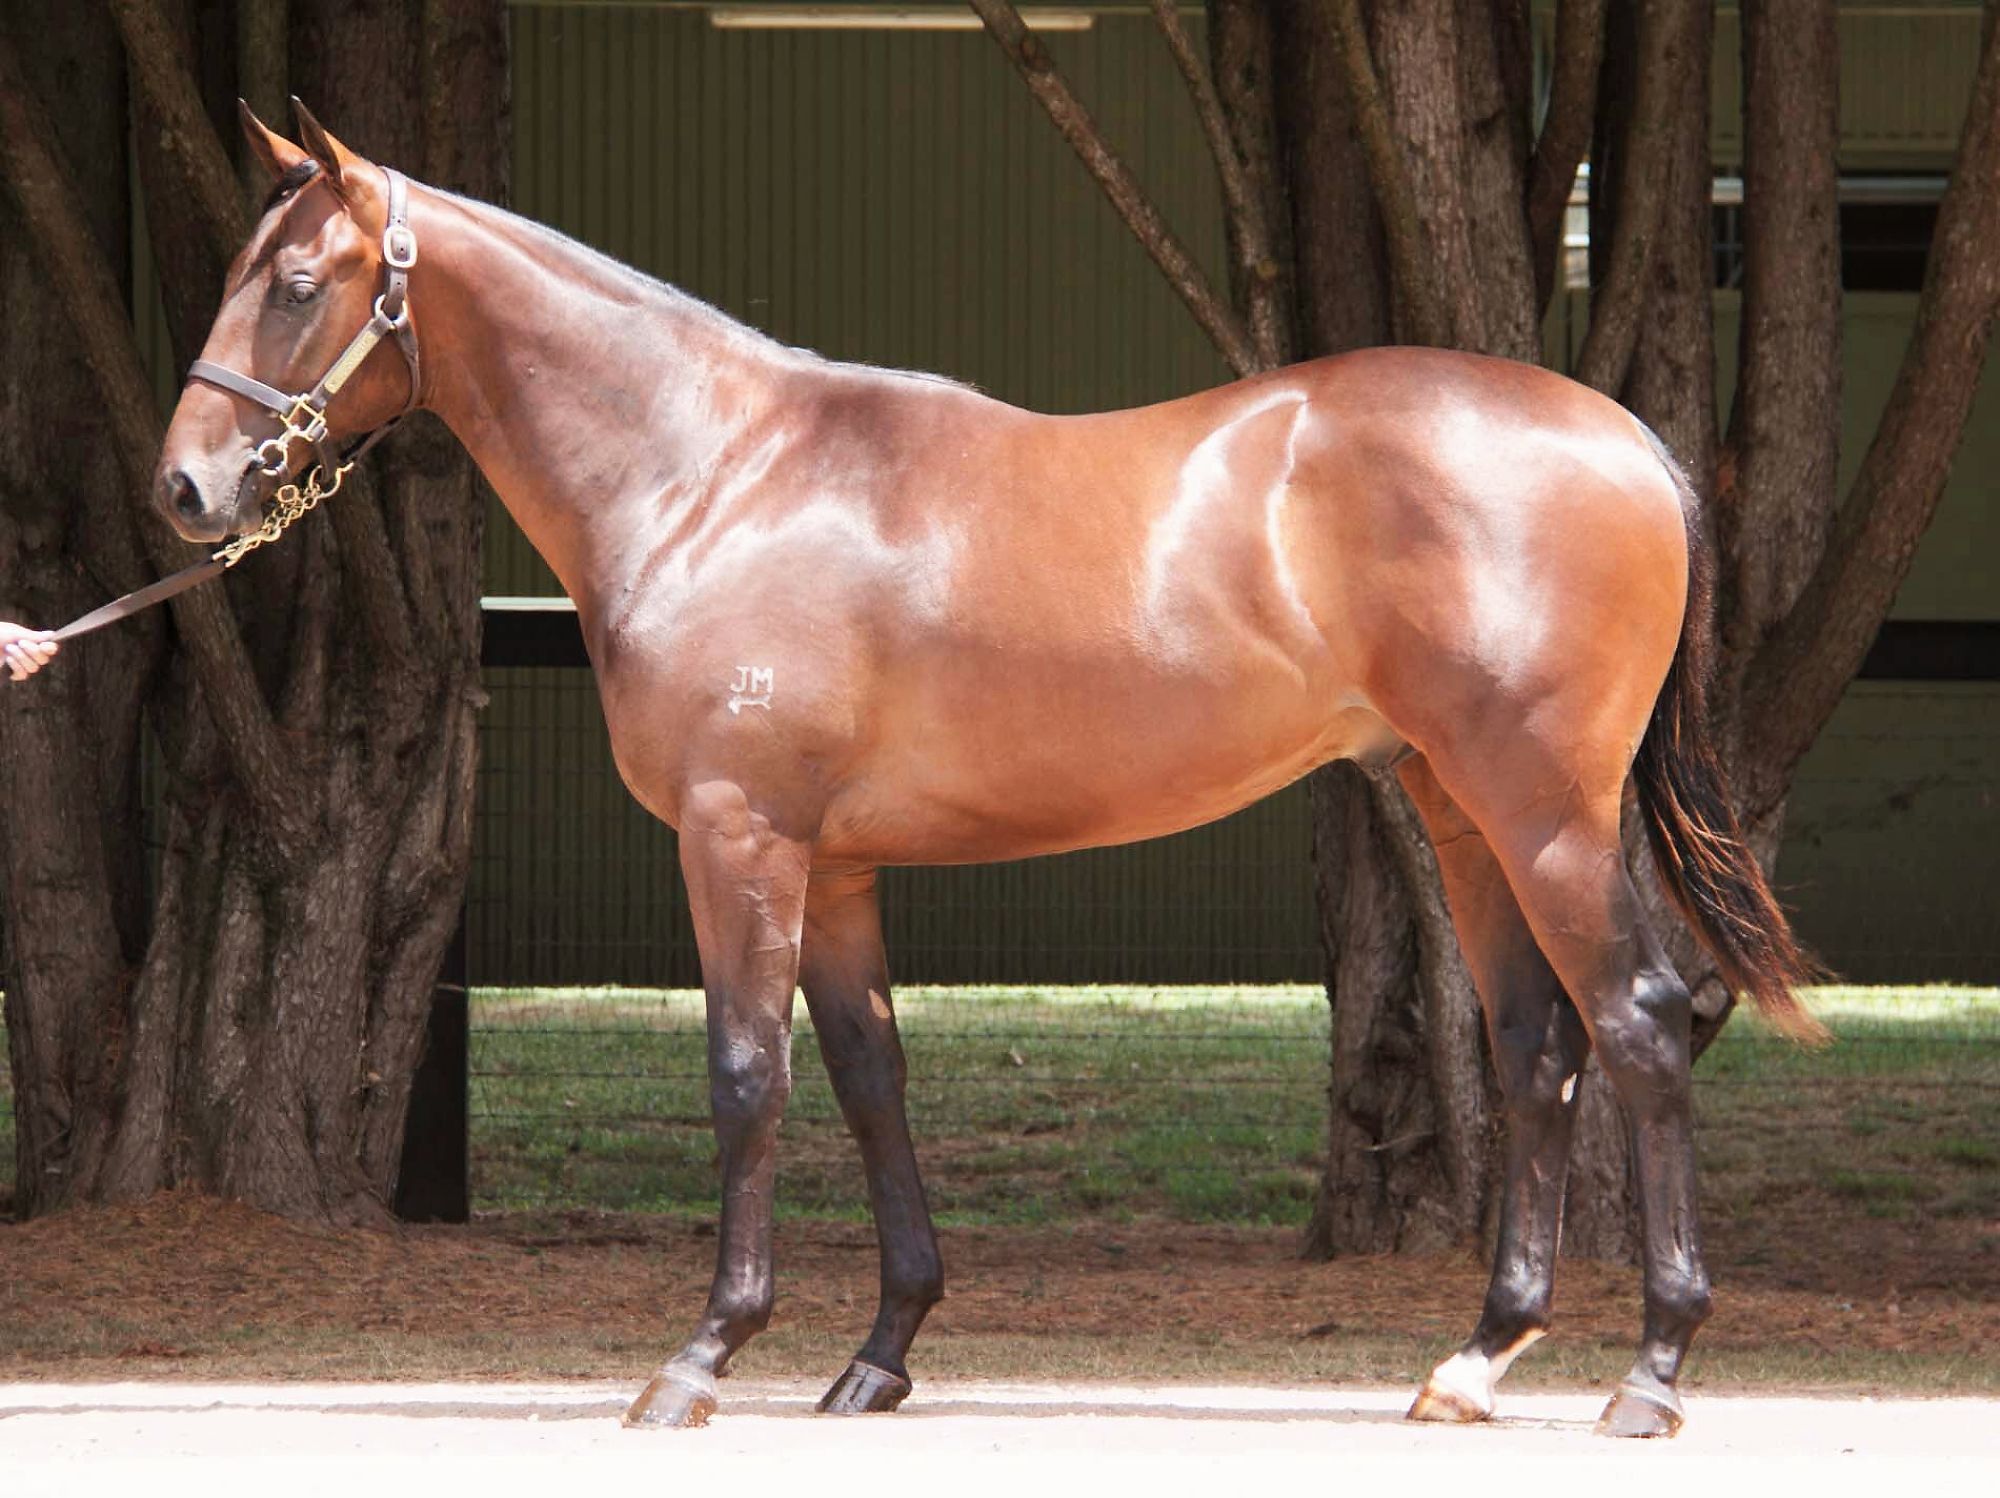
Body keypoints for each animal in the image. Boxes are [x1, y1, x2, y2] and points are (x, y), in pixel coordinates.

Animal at [155, 103, 1820, 1439]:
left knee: (1640, 1022)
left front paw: (702, 1356)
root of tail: (1629, 441)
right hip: (1463, 814)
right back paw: (1473, 1362)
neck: (714, 473)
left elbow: (747, 1078)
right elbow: (870, 1077)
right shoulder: (833, 865)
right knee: (1540, 1044)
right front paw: (879, 1353)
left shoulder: (739, 838)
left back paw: (1651, 1373)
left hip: (1547, 813)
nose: (185, 486)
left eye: (296, 283)